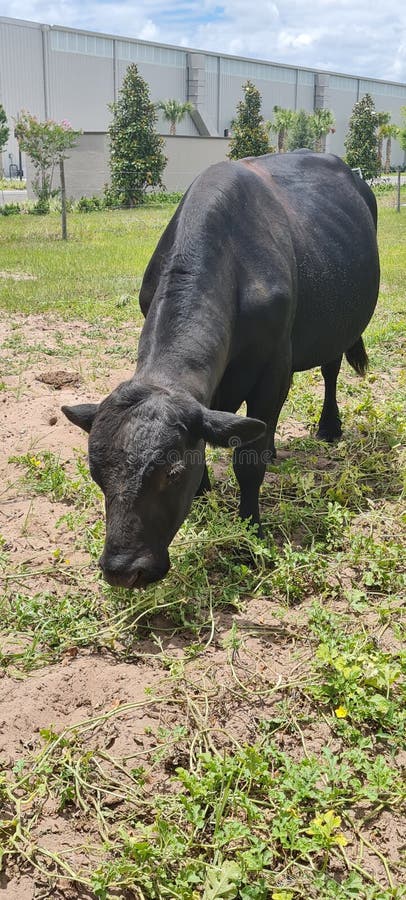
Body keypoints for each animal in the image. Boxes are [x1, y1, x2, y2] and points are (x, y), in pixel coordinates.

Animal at [62, 151, 380, 589]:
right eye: (96, 473)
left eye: (172, 473)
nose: (123, 570)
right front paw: (203, 494)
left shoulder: (272, 368)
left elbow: (248, 461)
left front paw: (251, 531)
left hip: (337, 327)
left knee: (330, 370)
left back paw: (329, 426)